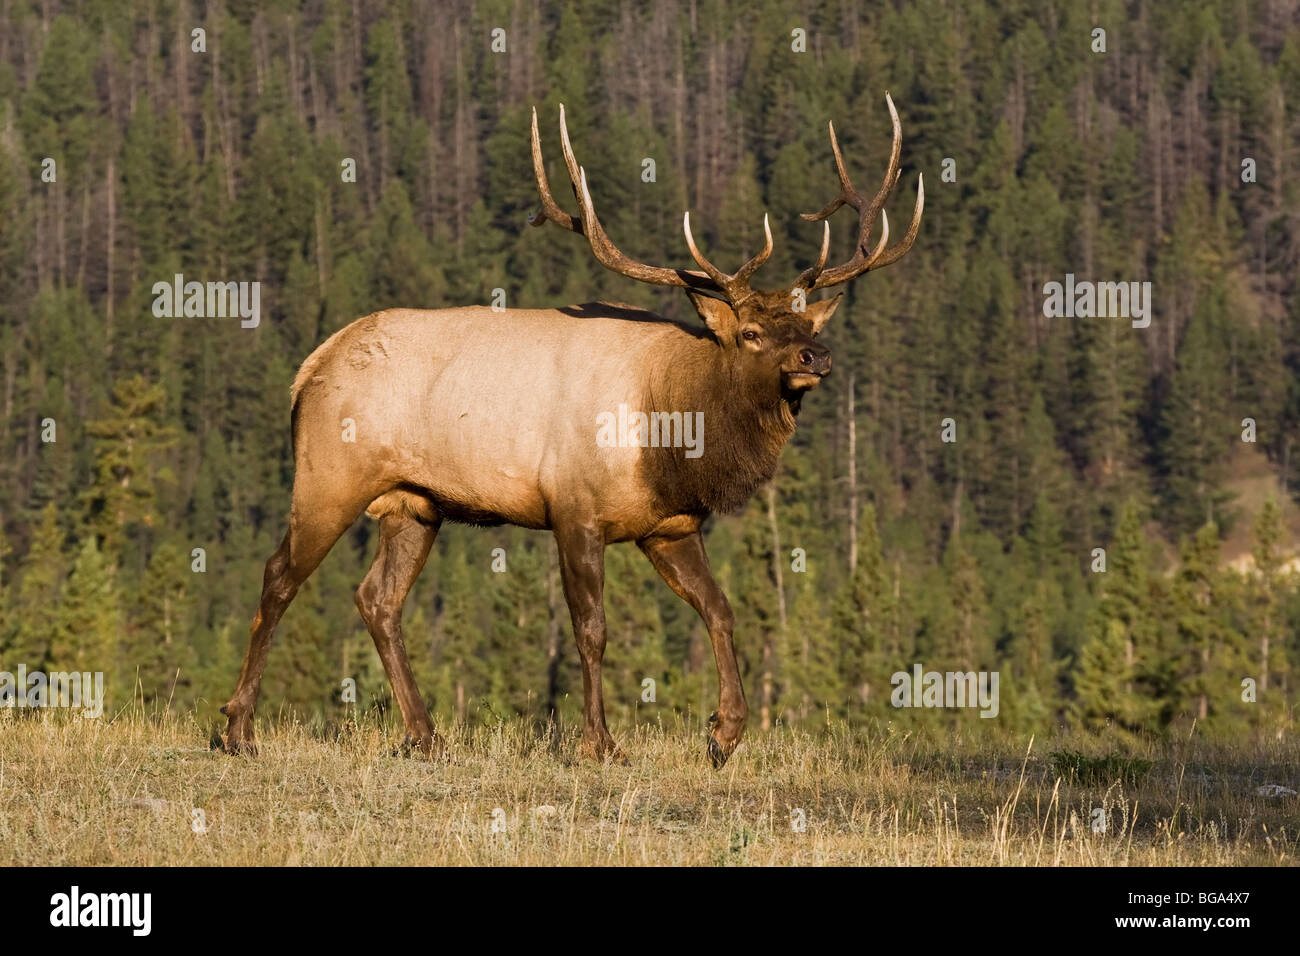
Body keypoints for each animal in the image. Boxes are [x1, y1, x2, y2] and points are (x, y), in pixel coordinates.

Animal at [219, 94, 922, 767]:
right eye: (750, 332)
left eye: (808, 325)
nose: (816, 358)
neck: (669, 436)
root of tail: (308, 370)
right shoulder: (574, 510)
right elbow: (592, 629)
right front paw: (600, 743)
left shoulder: (669, 526)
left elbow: (720, 609)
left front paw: (724, 734)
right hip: (330, 477)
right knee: (278, 576)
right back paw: (238, 729)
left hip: (415, 504)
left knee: (377, 599)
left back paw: (424, 736)